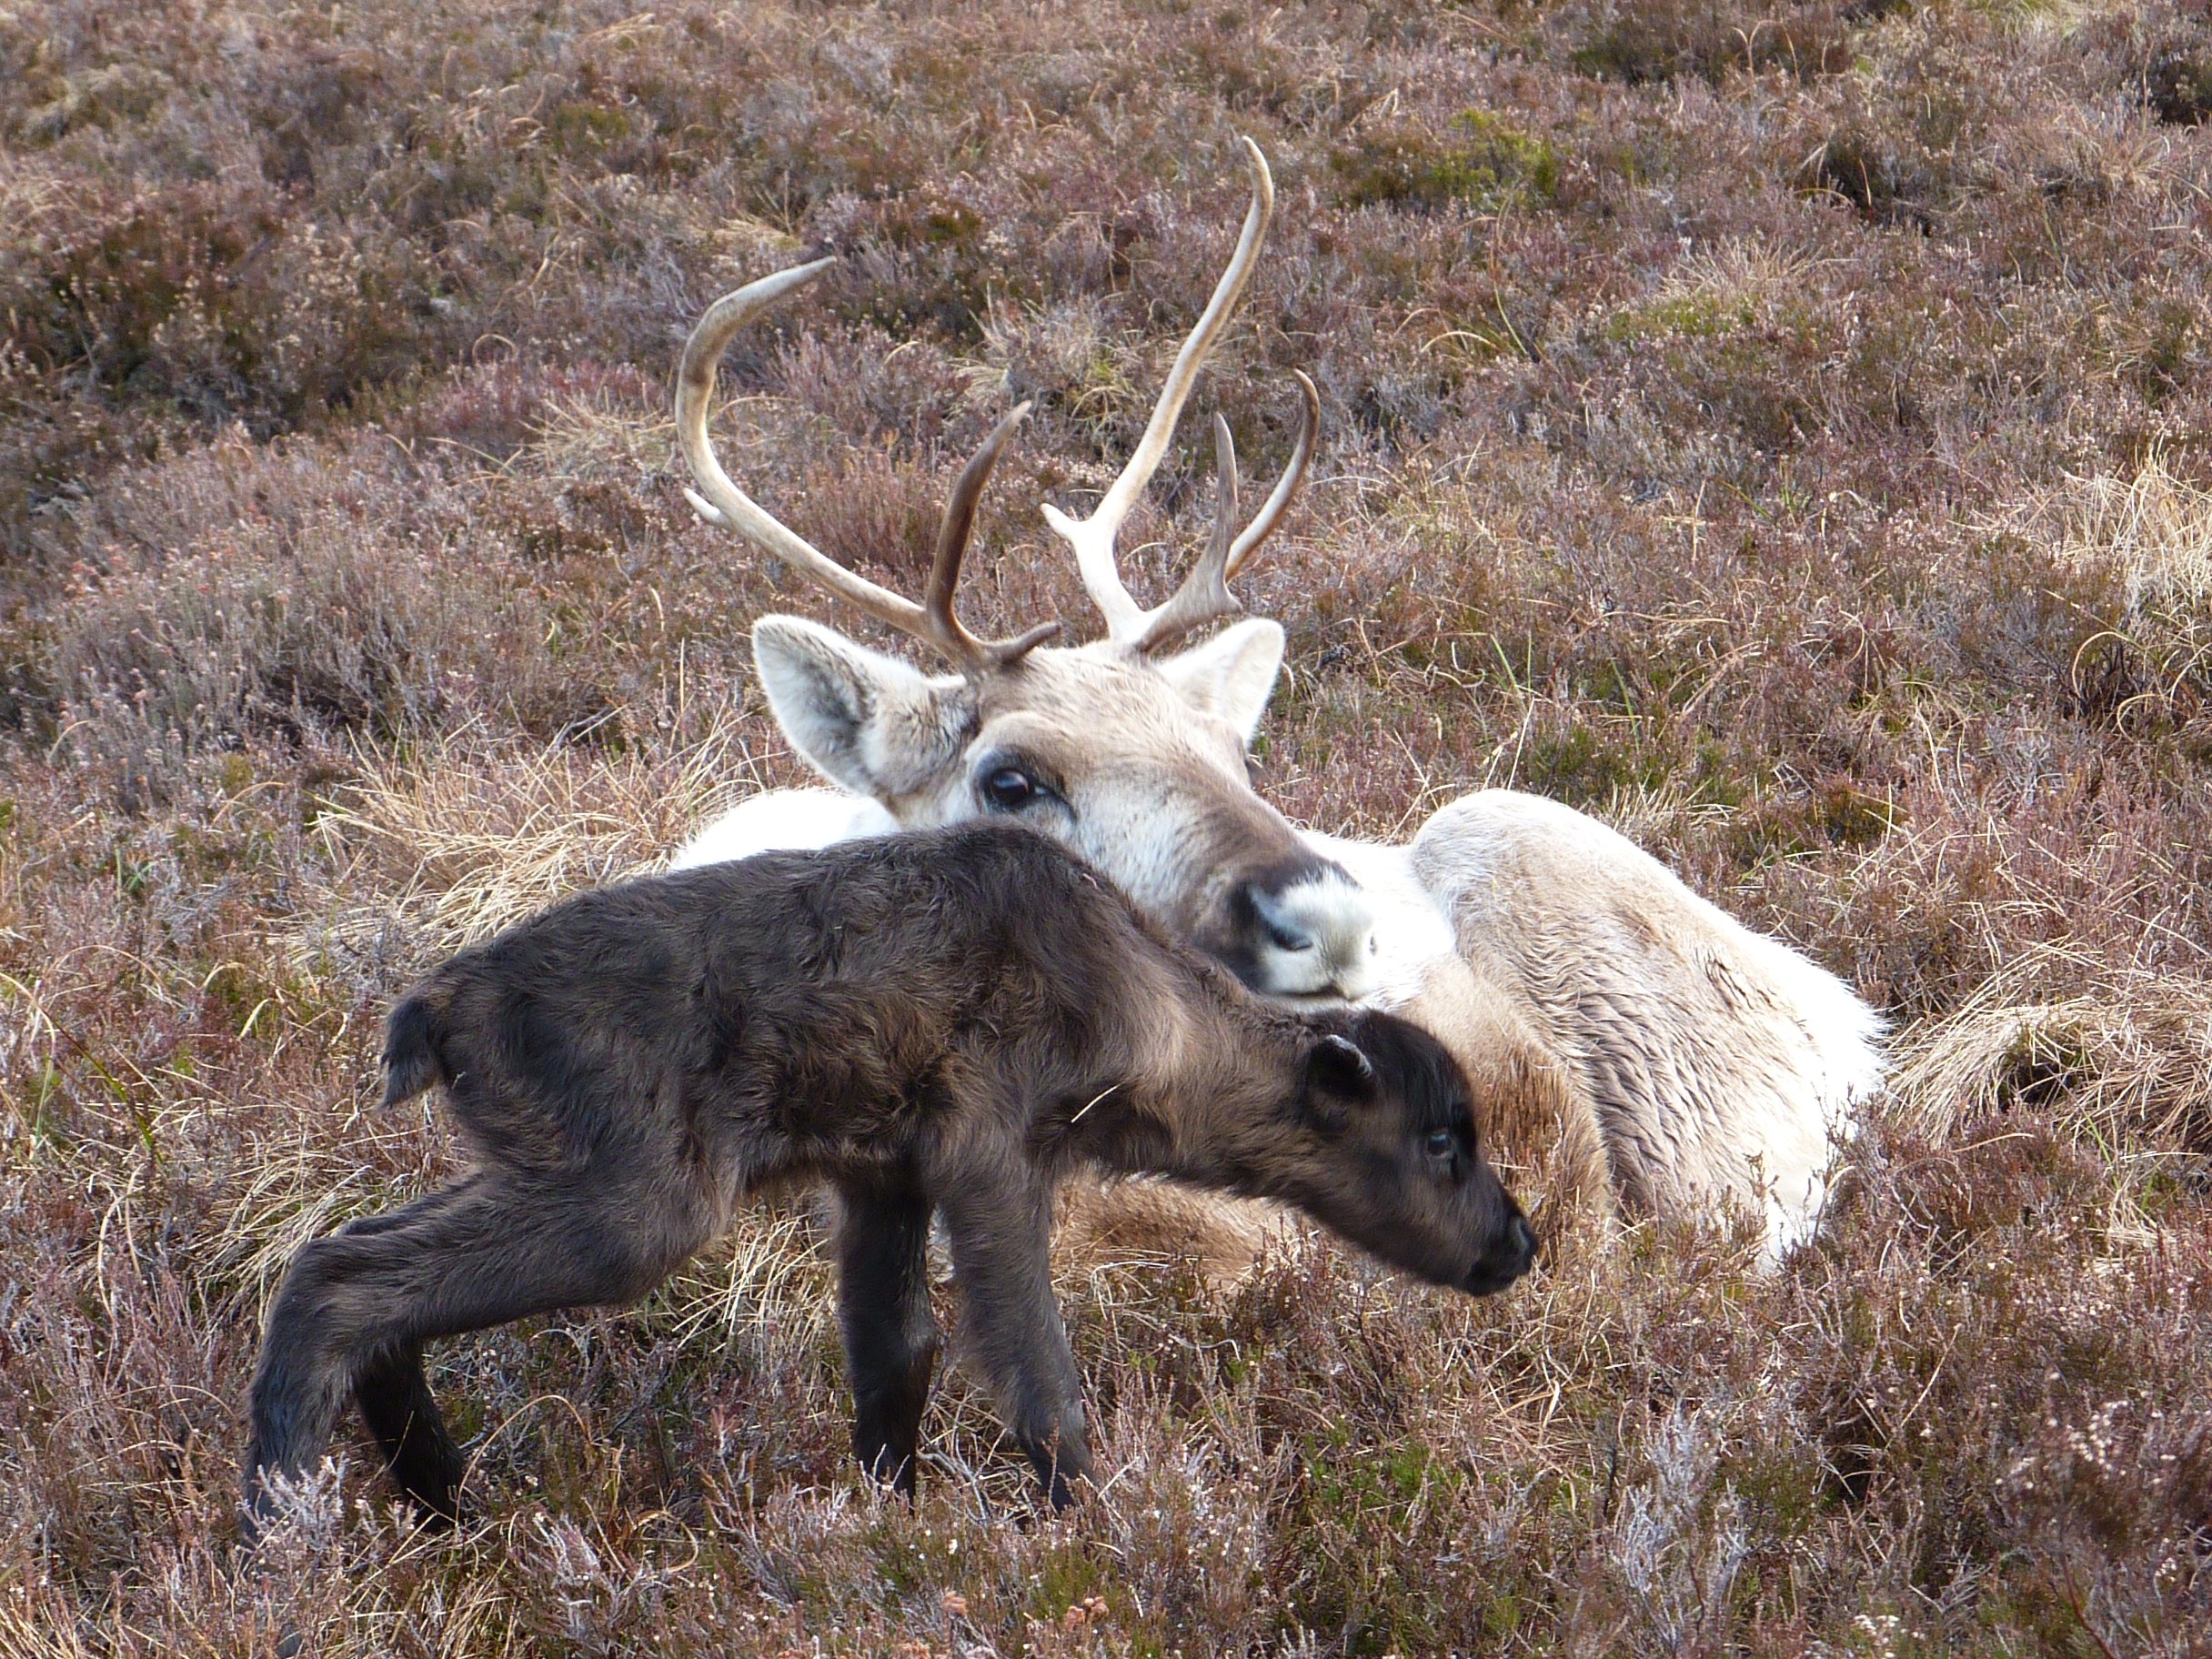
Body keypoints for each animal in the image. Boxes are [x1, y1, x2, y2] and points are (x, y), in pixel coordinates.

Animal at [241, 821, 1536, 1528]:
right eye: (1440, 1139)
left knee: (371, 1270)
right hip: (634, 1205)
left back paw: (448, 1515)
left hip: (542, 1171)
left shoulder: (881, 1179)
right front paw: (1095, 1535)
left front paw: (887, 1528)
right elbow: (1038, 1384)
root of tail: (438, 1008)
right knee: (337, 1278)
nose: (1516, 1243)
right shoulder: (993, 1160)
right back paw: (281, 1550)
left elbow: (893, 1363)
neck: (1146, 1009)